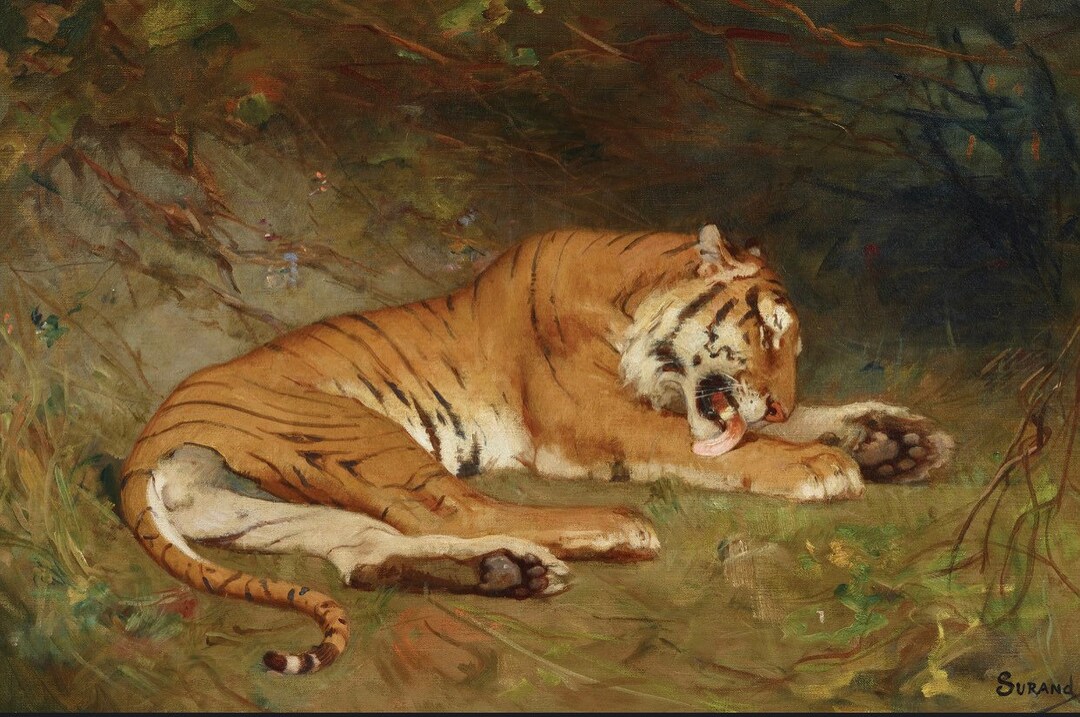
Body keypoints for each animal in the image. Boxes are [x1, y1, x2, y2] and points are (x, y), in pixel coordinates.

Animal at [118, 225, 953, 675]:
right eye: (771, 332)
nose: (774, 397)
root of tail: (146, 445)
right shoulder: (592, 415)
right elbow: (731, 446)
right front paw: (829, 464)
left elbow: (801, 420)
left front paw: (899, 441)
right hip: (356, 432)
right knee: (453, 509)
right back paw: (609, 529)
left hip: (270, 508)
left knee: (366, 551)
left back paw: (509, 571)